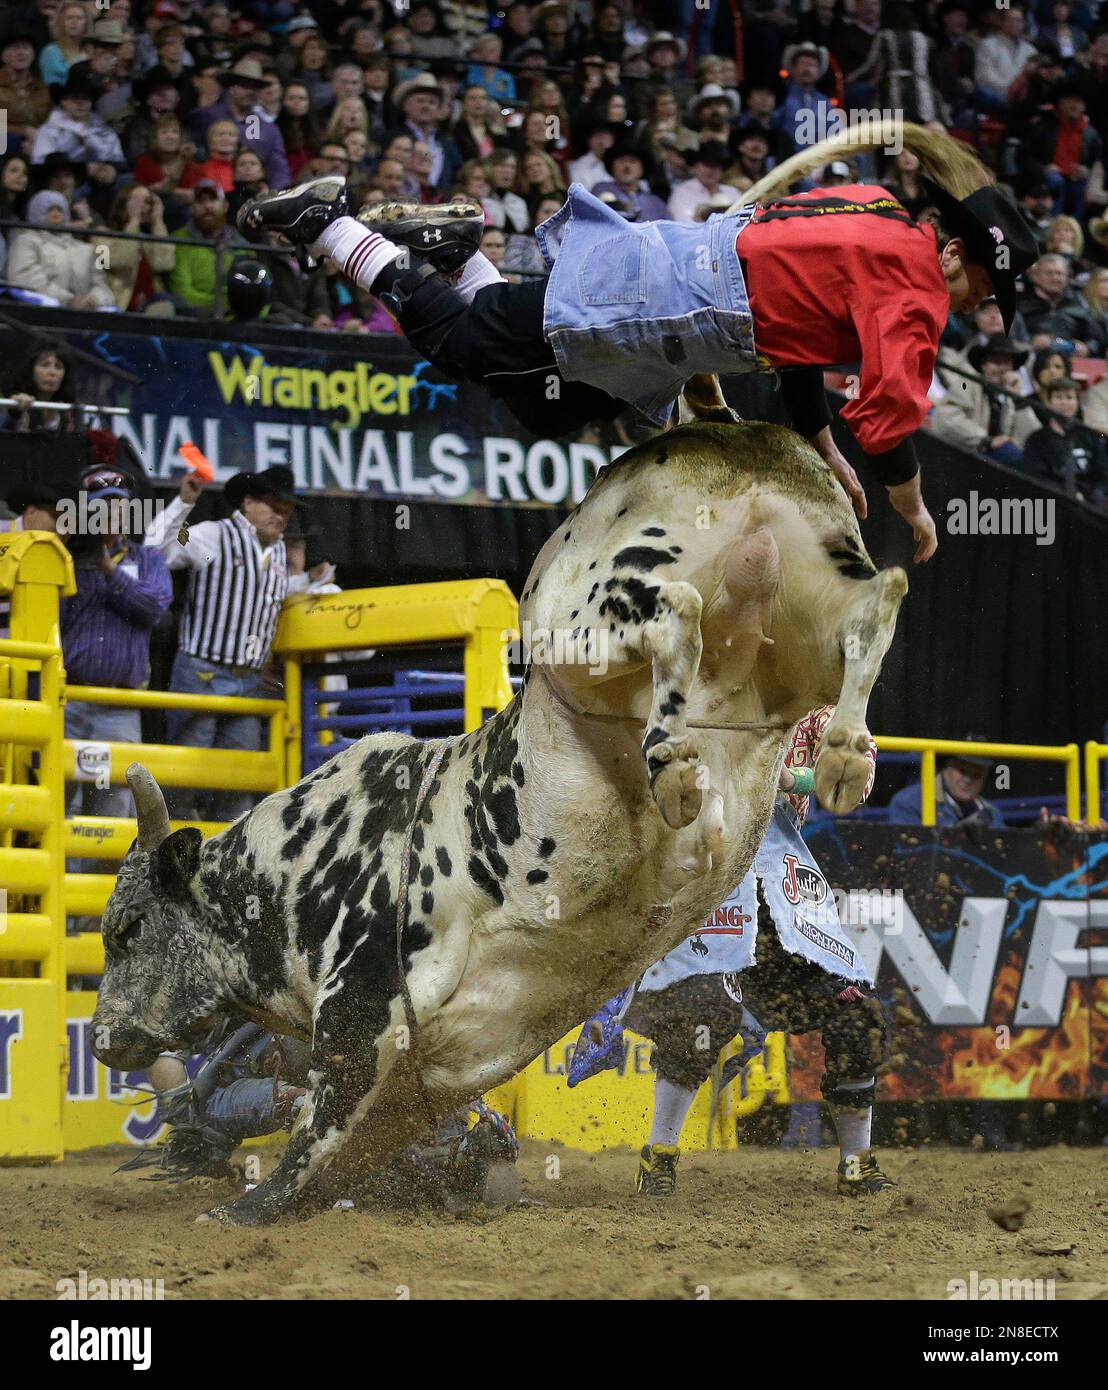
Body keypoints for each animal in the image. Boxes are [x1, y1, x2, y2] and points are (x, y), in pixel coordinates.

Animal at [91, 420, 907, 1225]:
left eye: (127, 929)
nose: (100, 1038)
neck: (286, 874)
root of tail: (734, 436)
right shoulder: (416, 1076)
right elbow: (360, 1133)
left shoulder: (363, 997)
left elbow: (317, 1126)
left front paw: (244, 1208)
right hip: (809, 588)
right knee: (873, 602)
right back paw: (843, 755)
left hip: (581, 616)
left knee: (674, 614)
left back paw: (679, 762)